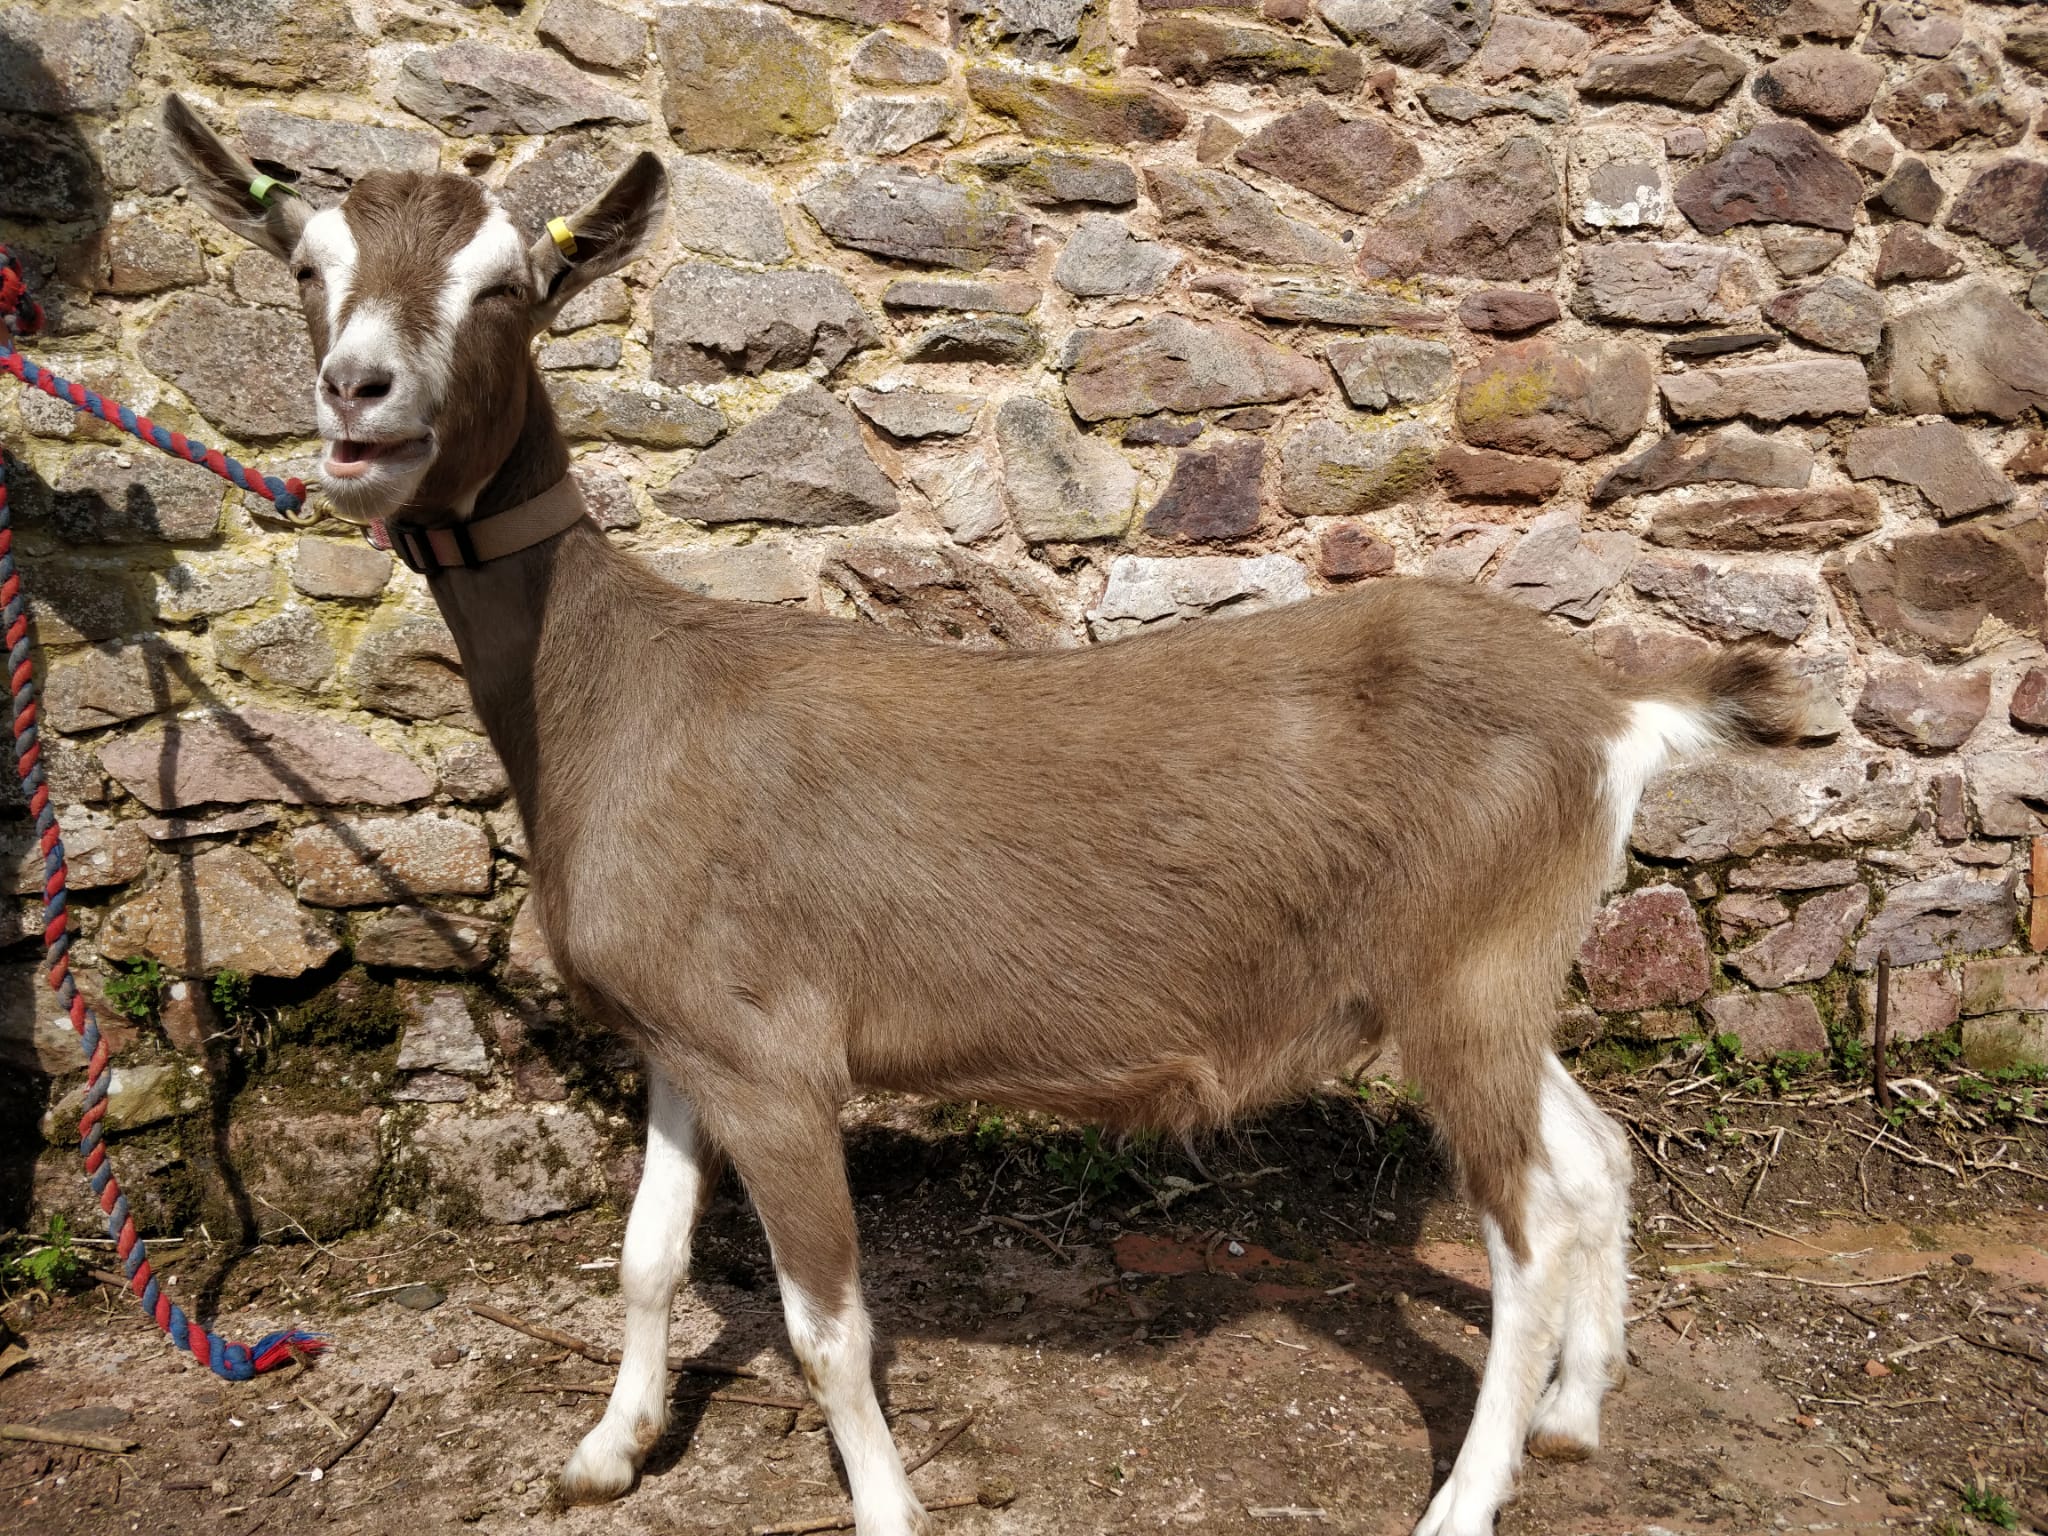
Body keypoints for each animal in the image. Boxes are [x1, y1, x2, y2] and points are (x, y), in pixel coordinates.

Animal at [161, 98, 1808, 1536]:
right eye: (306, 266)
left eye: (509, 284)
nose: (357, 396)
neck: (614, 692)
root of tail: (1609, 706)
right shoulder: (684, 1036)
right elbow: (643, 1260)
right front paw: (608, 1452)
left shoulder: (773, 1058)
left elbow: (826, 1324)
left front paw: (886, 1506)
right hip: (1493, 972)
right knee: (1594, 1160)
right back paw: (1576, 1415)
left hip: (1461, 974)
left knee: (1526, 1231)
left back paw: (1468, 1496)